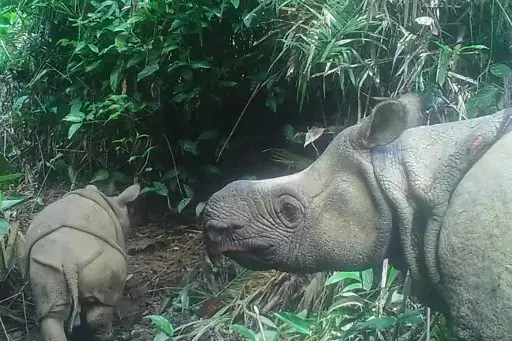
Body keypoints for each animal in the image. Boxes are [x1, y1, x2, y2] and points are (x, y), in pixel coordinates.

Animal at [23, 183, 140, 340]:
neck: (114, 203)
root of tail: (69, 263)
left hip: (44, 267)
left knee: (52, 315)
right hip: (100, 263)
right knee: (100, 307)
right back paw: (109, 335)